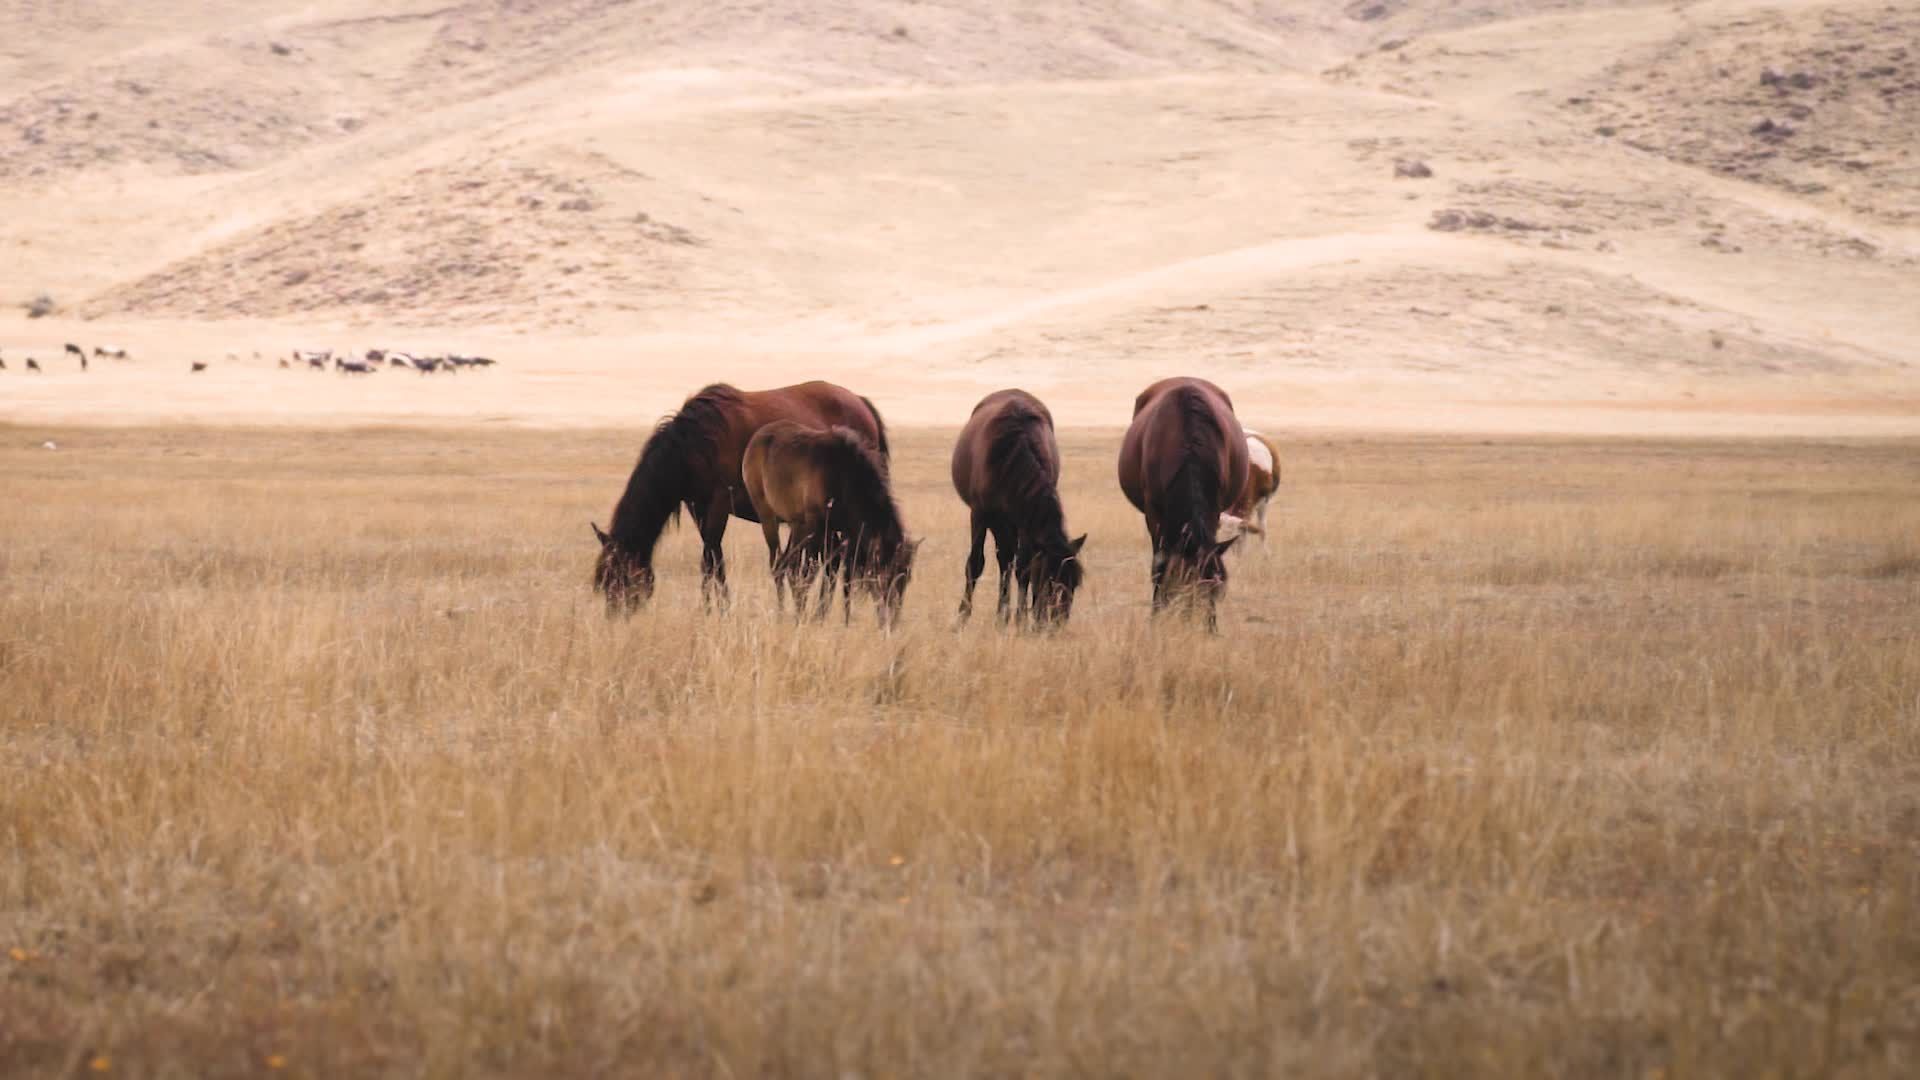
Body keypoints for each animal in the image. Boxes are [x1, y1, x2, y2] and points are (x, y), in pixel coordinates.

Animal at [592, 381, 890, 615]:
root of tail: (861, 403)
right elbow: (715, 560)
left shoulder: (719, 504)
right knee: (833, 560)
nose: (614, 617)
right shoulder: (697, 507)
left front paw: (715, 610)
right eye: (604, 581)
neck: (695, 444)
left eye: (621, 578)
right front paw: (716, 608)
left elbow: (709, 559)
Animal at [742, 420, 919, 627]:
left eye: (907, 577)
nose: (891, 621)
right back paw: (782, 613)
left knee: (789, 563)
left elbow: (840, 573)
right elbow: (810, 571)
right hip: (769, 518)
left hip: (797, 525)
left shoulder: (845, 533)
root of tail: (756, 438)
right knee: (779, 563)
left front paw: (835, 618)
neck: (843, 476)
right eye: (884, 574)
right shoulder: (817, 527)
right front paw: (806, 616)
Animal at [951, 389, 1086, 627]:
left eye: (1074, 585)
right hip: (999, 521)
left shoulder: (1025, 520)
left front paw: (1023, 618)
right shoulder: (980, 513)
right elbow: (975, 563)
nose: (1057, 623)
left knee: (1008, 560)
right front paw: (962, 616)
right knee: (1004, 559)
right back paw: (1001, 614)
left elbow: (1024, 566)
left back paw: (1005, 614)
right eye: (1049, 581)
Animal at [1117, 377, 1248, 631]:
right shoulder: (1154, 514)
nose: (1195, 620)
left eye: (1217, 589)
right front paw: (1156, 617)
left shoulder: (1214, 509)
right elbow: (1160, 566)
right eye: (1186, 583)